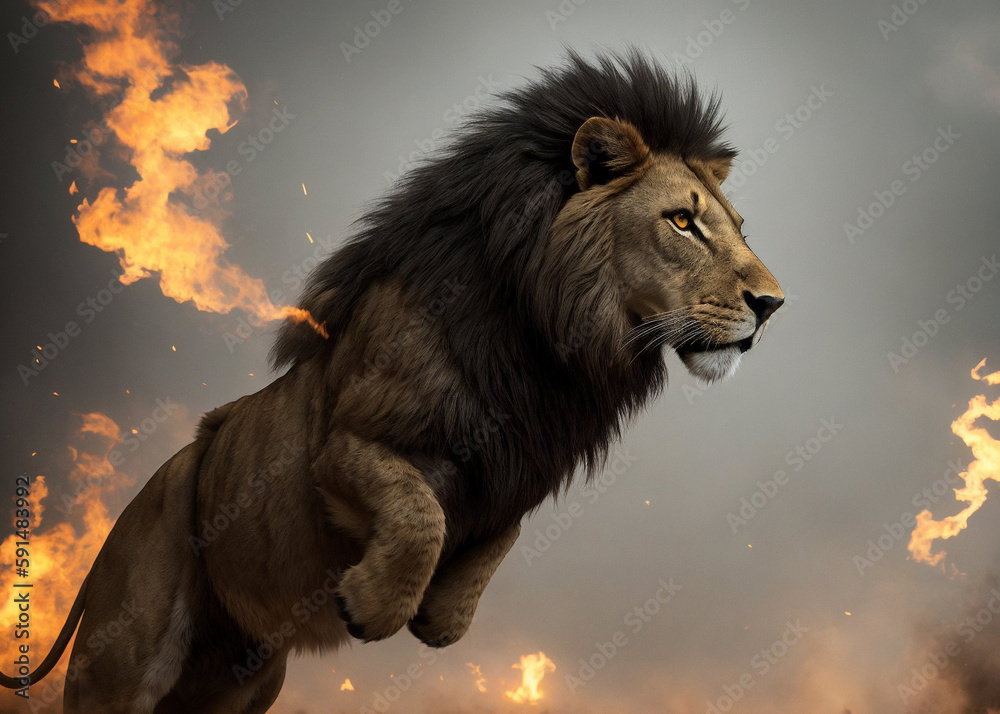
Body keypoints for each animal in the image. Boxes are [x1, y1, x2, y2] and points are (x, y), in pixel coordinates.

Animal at [2, 50, 782, 712]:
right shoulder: (341, 446)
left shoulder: (521, 463)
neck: (549, 347)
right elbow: (418, 512)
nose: (773, 304)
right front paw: (373, 606)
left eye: (739, 225)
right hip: (128, 652)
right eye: (682, 222)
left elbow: (499, 537)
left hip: (240, 681)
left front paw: (442, 617)